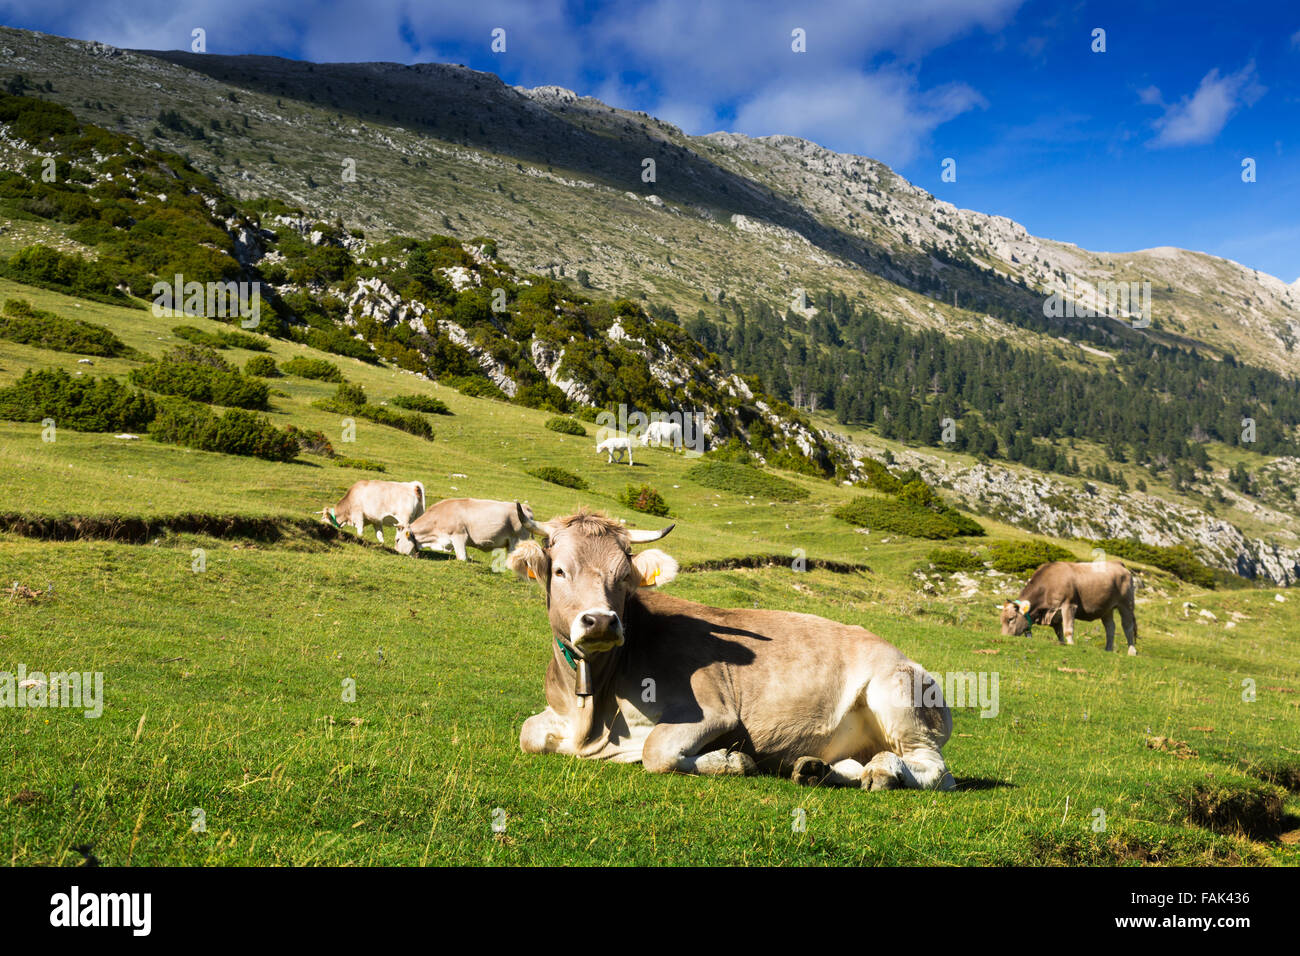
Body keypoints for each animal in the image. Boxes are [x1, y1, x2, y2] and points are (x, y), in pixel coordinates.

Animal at [396, 498, 541, 561]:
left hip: (517, 541)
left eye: (397, 540)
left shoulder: (459, 535)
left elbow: (462, 558)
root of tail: (525, 507)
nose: (396, 552)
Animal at [506, 508, 956, 791]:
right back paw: (814, 769)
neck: (594, 708)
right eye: (560, 570)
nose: (601, 621)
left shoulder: (713, 710)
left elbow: (656, 750)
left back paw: (883, 772)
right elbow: (528, 732)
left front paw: (730, 761)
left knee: (936, 770)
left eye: (624, 576)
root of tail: (910, 660)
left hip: (897, 697)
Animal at [1000, 560, 1138, 655]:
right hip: (1107, 609)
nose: (1004, 637)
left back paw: (1131, 651)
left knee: (1127, 627)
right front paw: (1062, 644)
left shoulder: (1069, 605)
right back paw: (1108, 649)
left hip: (1126, 604)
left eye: (1011, 618)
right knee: (1110, 627)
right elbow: (1059, 631)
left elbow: (1068, 629)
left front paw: (1071, 644)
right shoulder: (1054, 613)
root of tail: (1117, 563)